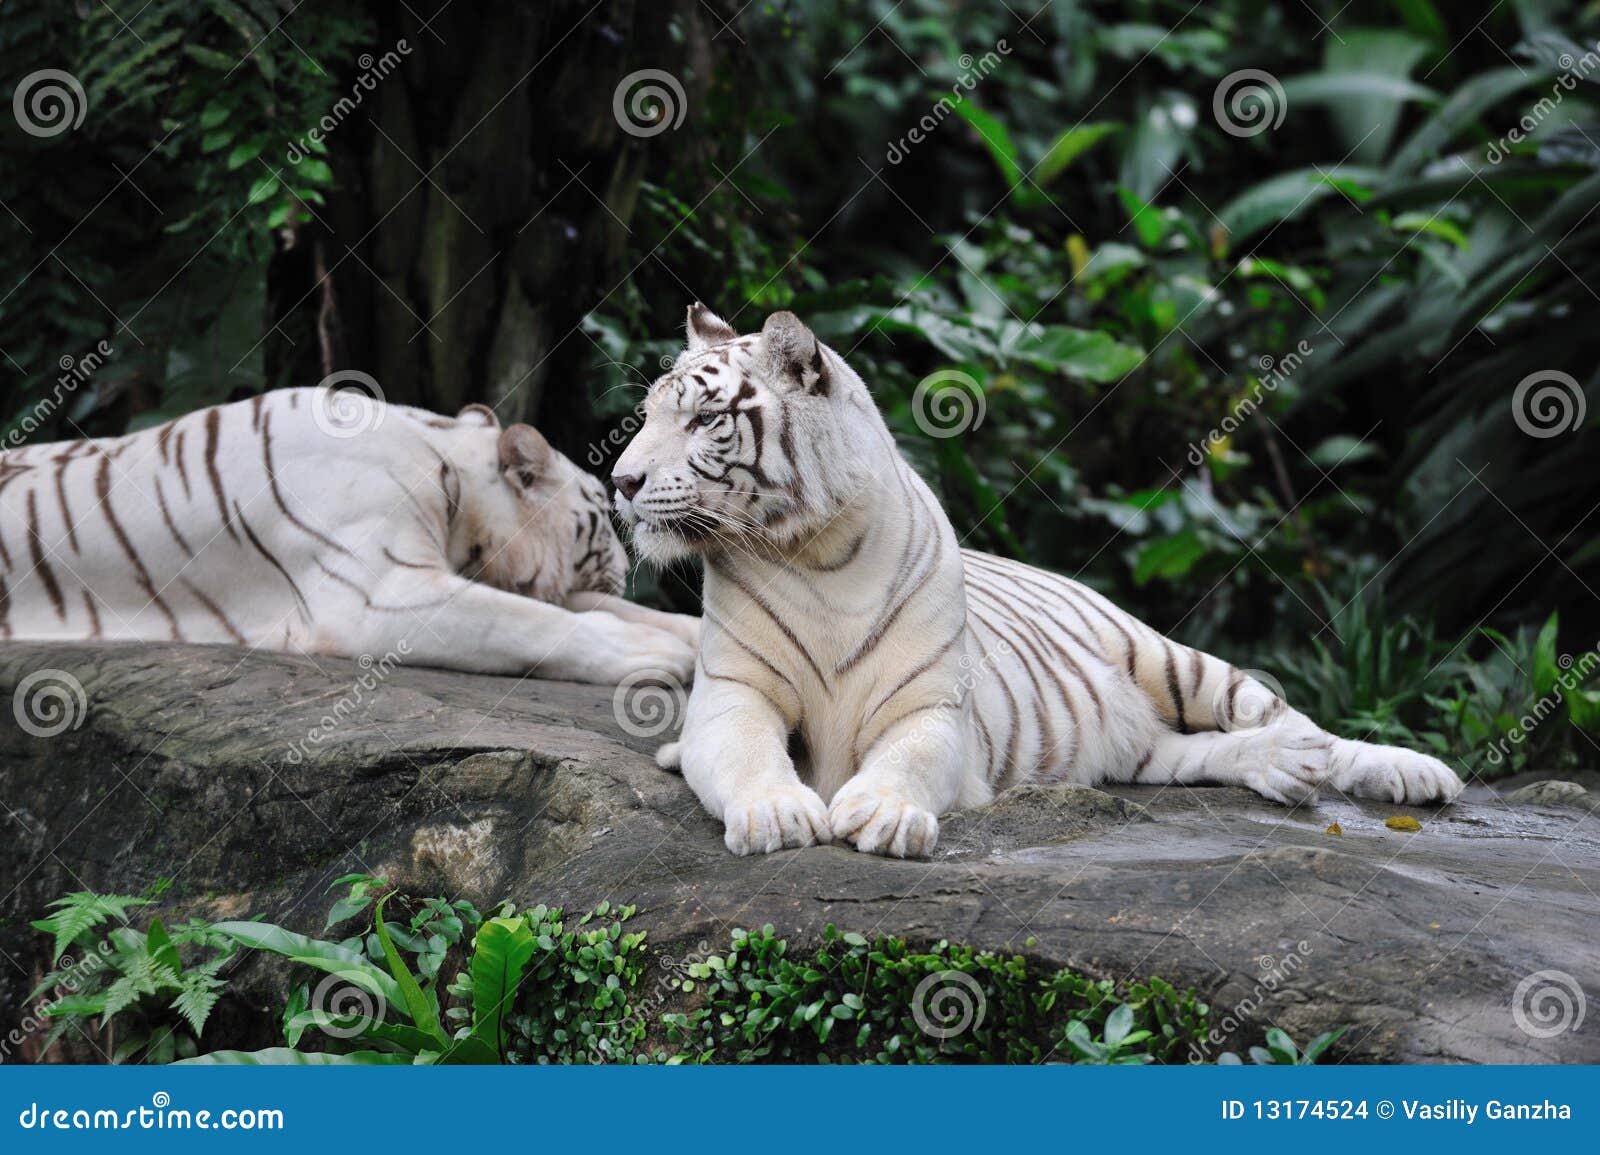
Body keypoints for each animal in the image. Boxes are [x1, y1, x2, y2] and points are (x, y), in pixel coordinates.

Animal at [0, 387, 697, 685]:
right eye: (601, 513)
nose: (626, 566)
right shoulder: (376, 593)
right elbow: (532, 622)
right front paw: (655, 656)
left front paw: (691, 636)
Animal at [611, 304, 1464, 858]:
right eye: (647, 415)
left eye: (703, 421)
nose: (619, 480)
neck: (814, 552)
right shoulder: (732, 691)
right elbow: (747, 752)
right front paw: (778, 814)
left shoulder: (934, 704)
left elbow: (911, 755)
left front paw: (883, 813)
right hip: (1128, 744)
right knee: (1180, 754)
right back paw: (1279, 767)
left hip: (1168, 658)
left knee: (1297, 720)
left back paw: (1398, 769)